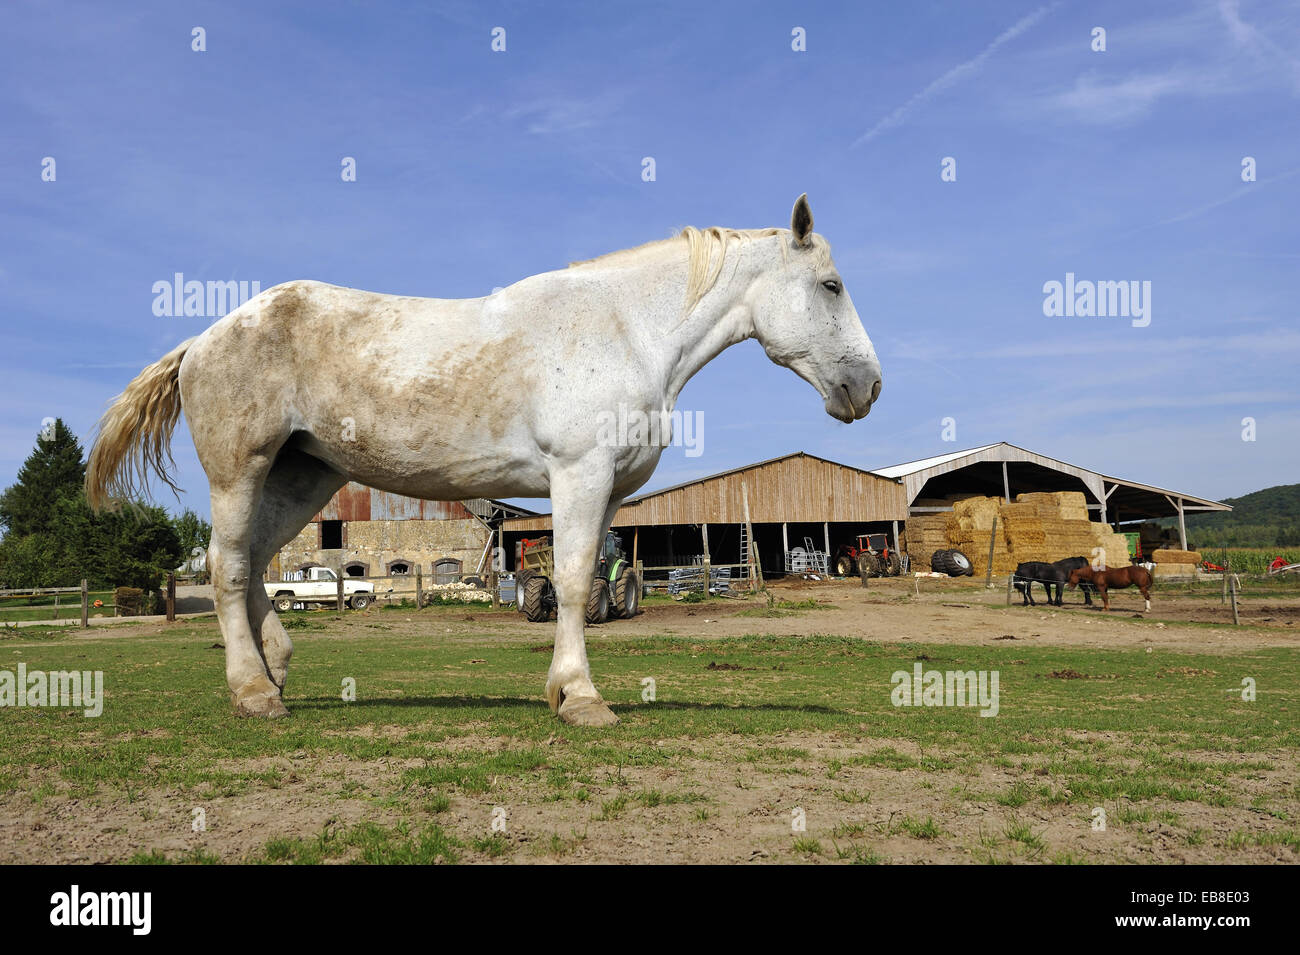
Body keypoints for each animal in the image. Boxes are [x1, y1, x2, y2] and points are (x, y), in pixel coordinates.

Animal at [84, 195, 883, 726]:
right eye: (831, 286)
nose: (869, 386)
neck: (626, 329)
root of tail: (204, 337)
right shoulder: (579, 476)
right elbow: (570, 580)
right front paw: (581, 698)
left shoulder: (608, 491)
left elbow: (586, 576)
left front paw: (564, 688)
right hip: (240, 472)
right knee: (228, 568)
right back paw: (253, 692)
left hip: (304, 477)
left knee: (252, 565)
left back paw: (275, 671)